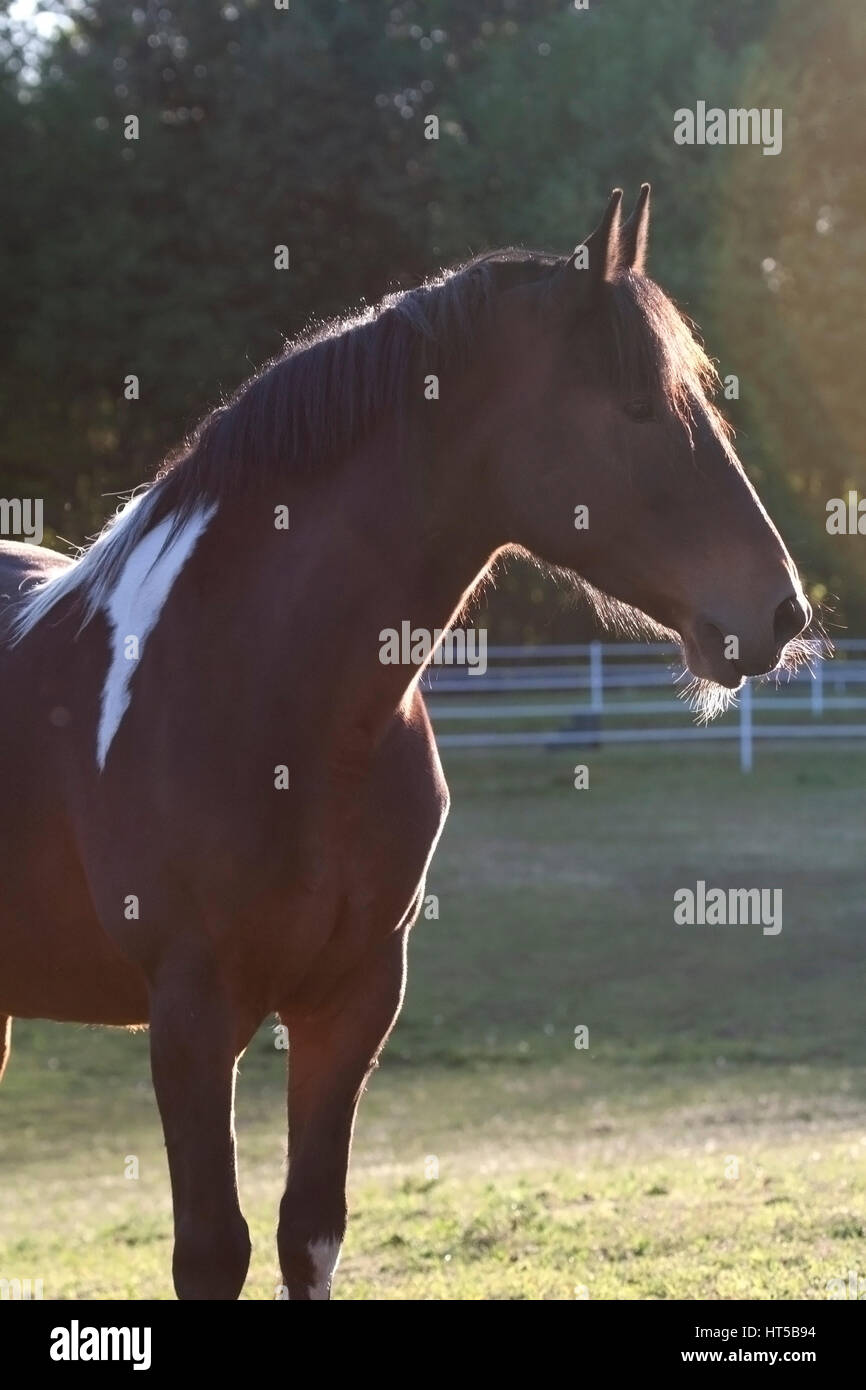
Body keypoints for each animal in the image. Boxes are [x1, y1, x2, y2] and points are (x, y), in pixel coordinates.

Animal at [0, 186, 811, 1300]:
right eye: (639, 406)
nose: (780, 610)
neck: (268, 700)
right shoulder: (190, 1012)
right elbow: (213, 1248)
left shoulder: (352, 1003)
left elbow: (309, 1230)